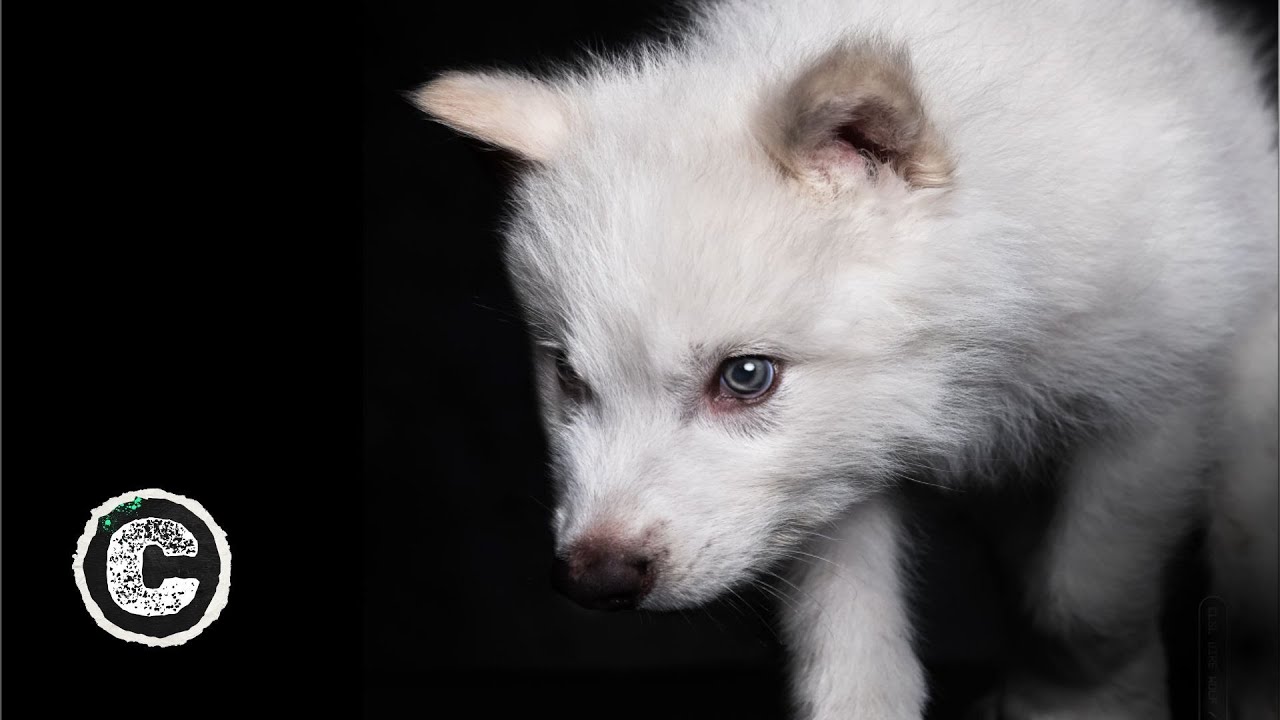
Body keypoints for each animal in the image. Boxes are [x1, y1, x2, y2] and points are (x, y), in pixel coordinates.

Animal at [411, 0, 1278, 717]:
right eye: (567, 377)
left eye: (746, 377)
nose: (592, 580)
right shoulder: (829, 483)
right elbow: (850, 664)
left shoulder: (1156, 410)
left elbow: (1080, 611)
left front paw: (1075, 707)